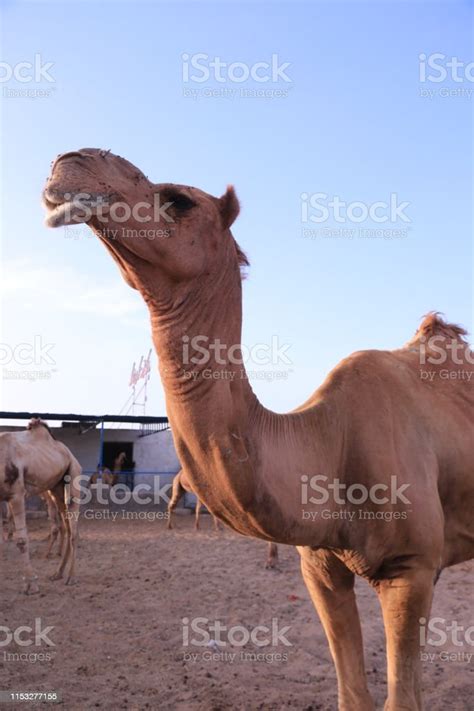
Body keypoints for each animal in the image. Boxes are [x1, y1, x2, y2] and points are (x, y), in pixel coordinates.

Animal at [0, 418, 82, 593]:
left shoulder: (16, 493)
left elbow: (22, 540)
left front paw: (31, 585)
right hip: (56, 488)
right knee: (67, 526)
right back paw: (58, 573)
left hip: (73, 476)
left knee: (73, 531)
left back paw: (71, 577)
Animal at [44, 149, 473, 710]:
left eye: (178, 199)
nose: (67, 163)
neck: (328, 447)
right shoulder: (320, 566)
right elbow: (352, 694)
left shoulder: (412, 567)